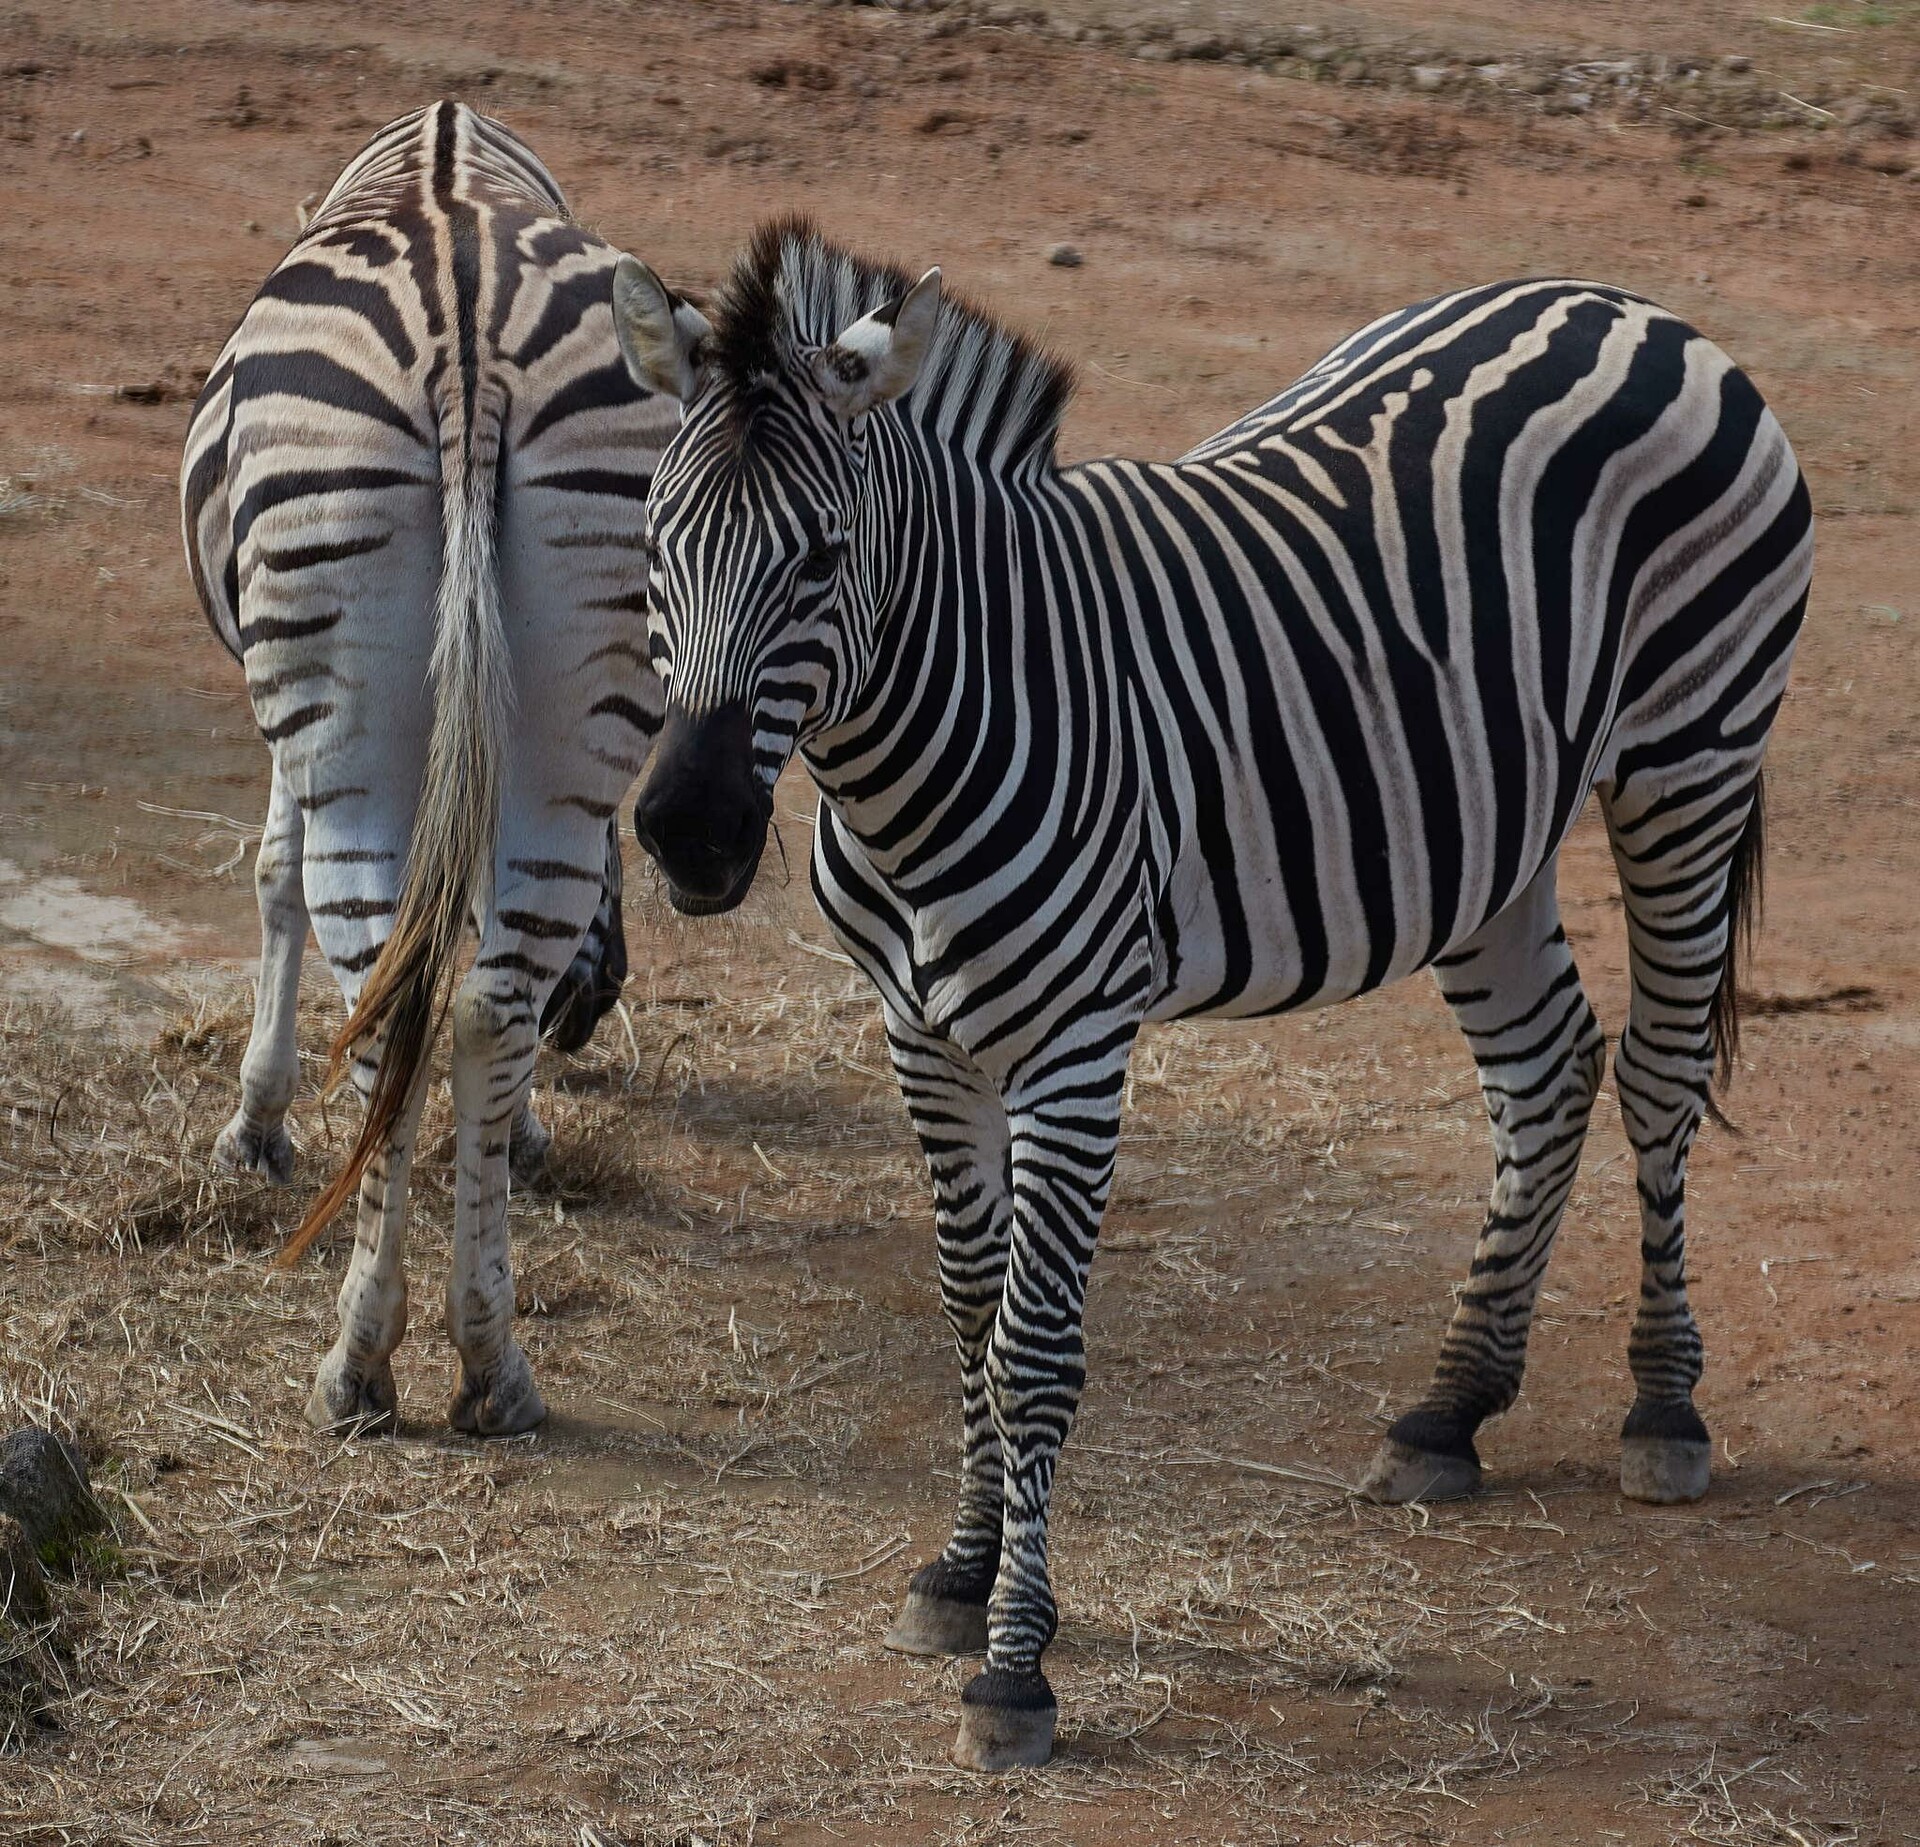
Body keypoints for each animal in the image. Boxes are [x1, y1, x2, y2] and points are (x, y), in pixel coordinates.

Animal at [181, 101, 675, 1436]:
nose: (596, 1012)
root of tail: (466, 331)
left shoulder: (290, 723)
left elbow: (274, 875)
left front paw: (254, 1119)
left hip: (341, 699)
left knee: (382, 982)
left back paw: (358, 1359)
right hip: (577, 690)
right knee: (481, 1002)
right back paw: (491, 1362)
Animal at [608, 217, 1812, 1770]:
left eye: (820, 557)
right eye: (652, 546)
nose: (689, 832)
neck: (925, 747)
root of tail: (1621, 300)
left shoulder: (1074, 1045)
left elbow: (1034, 1347)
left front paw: (1017, 1664)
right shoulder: (921, 1036)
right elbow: (967, 1310)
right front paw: (962, 1567)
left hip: (1691, 755)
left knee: (1660, 1070)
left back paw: (1663, 1403)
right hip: (1485, 830)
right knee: (1548, 1068)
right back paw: (1452, 1408)